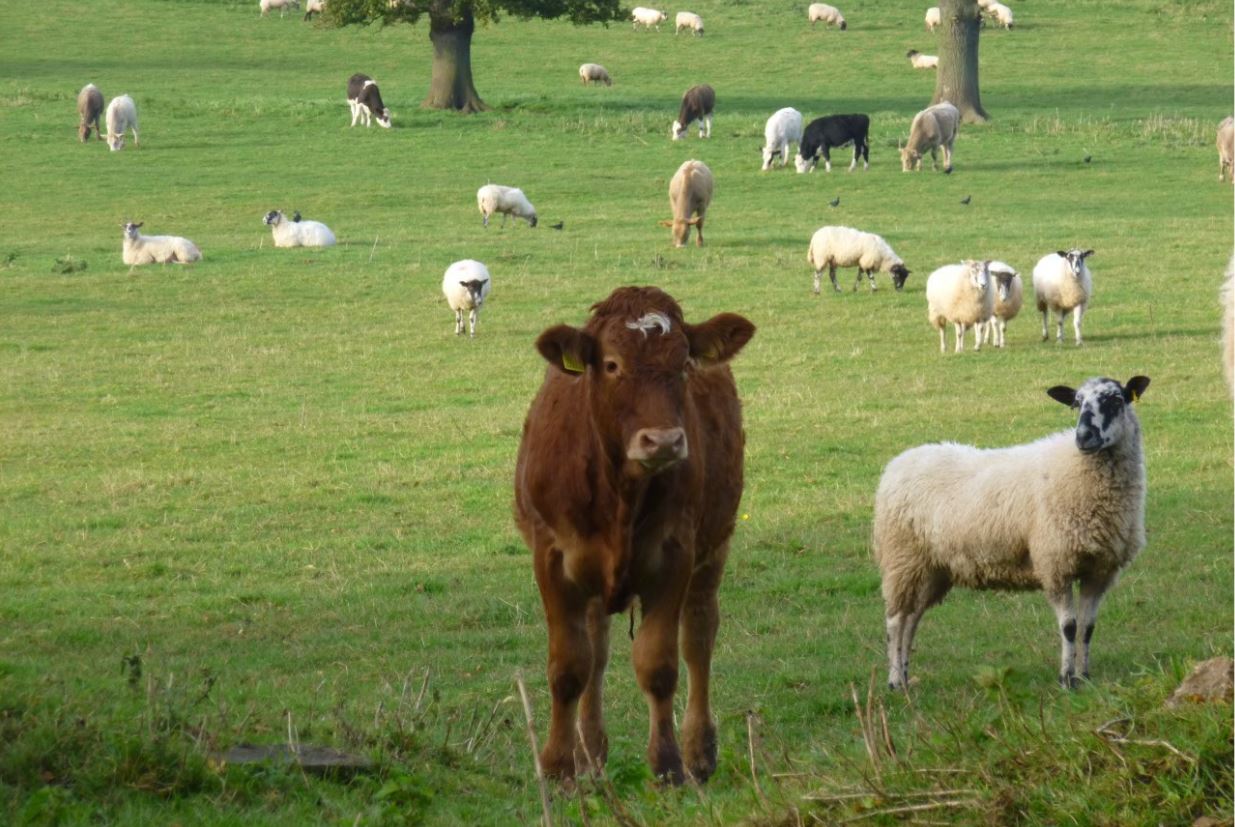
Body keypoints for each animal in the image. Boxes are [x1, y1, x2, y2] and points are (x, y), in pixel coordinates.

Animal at [514, 286, 756, 784]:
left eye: (683, 364)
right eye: (611, 364)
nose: (663, 441)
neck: (620, 494)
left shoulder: (675, 554)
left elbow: (659, 665)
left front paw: (667, 766)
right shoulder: (552, 557)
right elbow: (569, 667)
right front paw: (558, 767)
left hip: (715, 546)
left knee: (698, 636)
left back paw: (699, 751)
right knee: (597, 649)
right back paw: (591, 752)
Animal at [874, 374, 1152, 690]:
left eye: (1116, 400)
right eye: (1076, 403)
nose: (1083, 437)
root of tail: (897, 463)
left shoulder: (1100, 570)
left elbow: (1088, 627)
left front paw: (1085, 677)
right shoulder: (1054, 564)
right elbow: (1069, 627)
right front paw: (1066, 679)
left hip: (933, 569)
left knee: (911, 620)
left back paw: (905, 679)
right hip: (902, 560)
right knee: (895, 622)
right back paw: (894, 681)